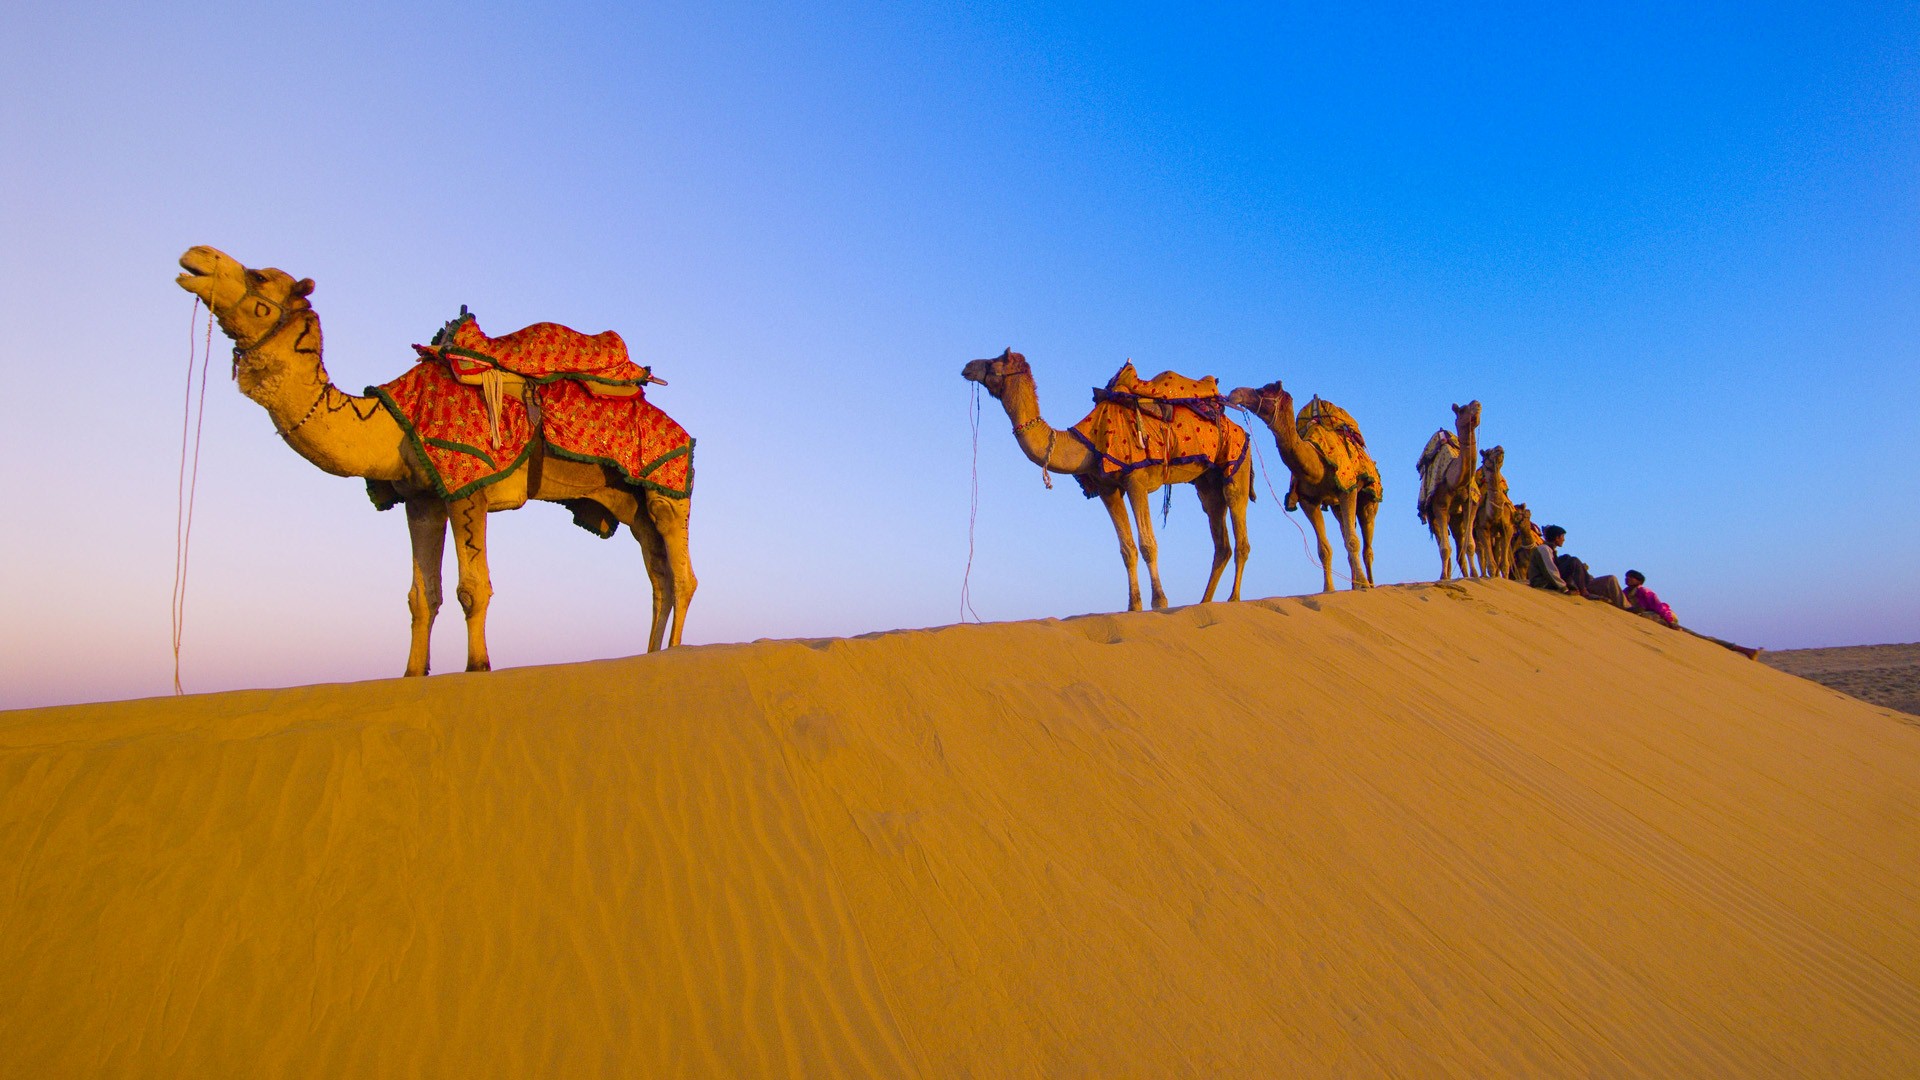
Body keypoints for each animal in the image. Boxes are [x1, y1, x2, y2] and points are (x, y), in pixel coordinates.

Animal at [175, 246, 696, 676]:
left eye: (260, 276)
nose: (194, 256)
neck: (389, 422)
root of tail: (681, 428)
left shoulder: (468, 486)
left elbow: (473, 588)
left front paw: (477, 666)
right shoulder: (421, 497)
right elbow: (422, 597)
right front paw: (412, 672)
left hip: (667, 489)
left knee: (683, 575)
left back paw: (673, 652)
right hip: (626, 501)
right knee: (658, 576)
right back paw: (651, 653)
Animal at [961, 349, 1251, 611]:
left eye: (995, 360)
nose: (967, 366)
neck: (1085, 441)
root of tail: (1238, 427)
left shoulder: (1136, 480)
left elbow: (1148, 544)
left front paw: (1159, 602)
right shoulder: (1107, 488)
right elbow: (1127, 549)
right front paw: (1133, 606)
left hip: (1236, 464)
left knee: (1240, 534)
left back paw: (1234, 599)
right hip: (1207, 482)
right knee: (1220, 539)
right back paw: (1205, 602)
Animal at [1225, 381, 1380, 592]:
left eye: (1263, 390)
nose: (1235, 393)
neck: (1318, 464)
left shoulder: (1348, 489)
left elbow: (1352, 542)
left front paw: (1363, 585)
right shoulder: (1309, 501)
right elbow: (1324, 549)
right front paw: (1328, 589)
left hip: (1369, 498)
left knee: (1366, 546)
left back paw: (1369, 584)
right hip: (1336, 506)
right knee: (1346, 531)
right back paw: (1354, 584)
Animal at [1415, 401, 1482, 580]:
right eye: (1463, 409)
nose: (1477, 404)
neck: (1454, 480)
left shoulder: (1471, 502)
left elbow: (1469, 545)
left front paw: (1475, 575)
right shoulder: (1439, 504)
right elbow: (1445, 548)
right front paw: (1444, 577)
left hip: (1456, 518)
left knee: (1459, 547)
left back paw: (1464, 576)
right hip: (1432, 515)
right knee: (1443, 543)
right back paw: (1446, 575)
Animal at [1471, 445, 1514, 579]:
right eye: (1488, 453)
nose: (1499, 448)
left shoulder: (1508, 528)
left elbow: (1504, 564)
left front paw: (1504, 579)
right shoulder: (1482, 528)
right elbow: (1490, 562)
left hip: (1496, 535)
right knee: (1480, 552)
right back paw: (1483, 576)